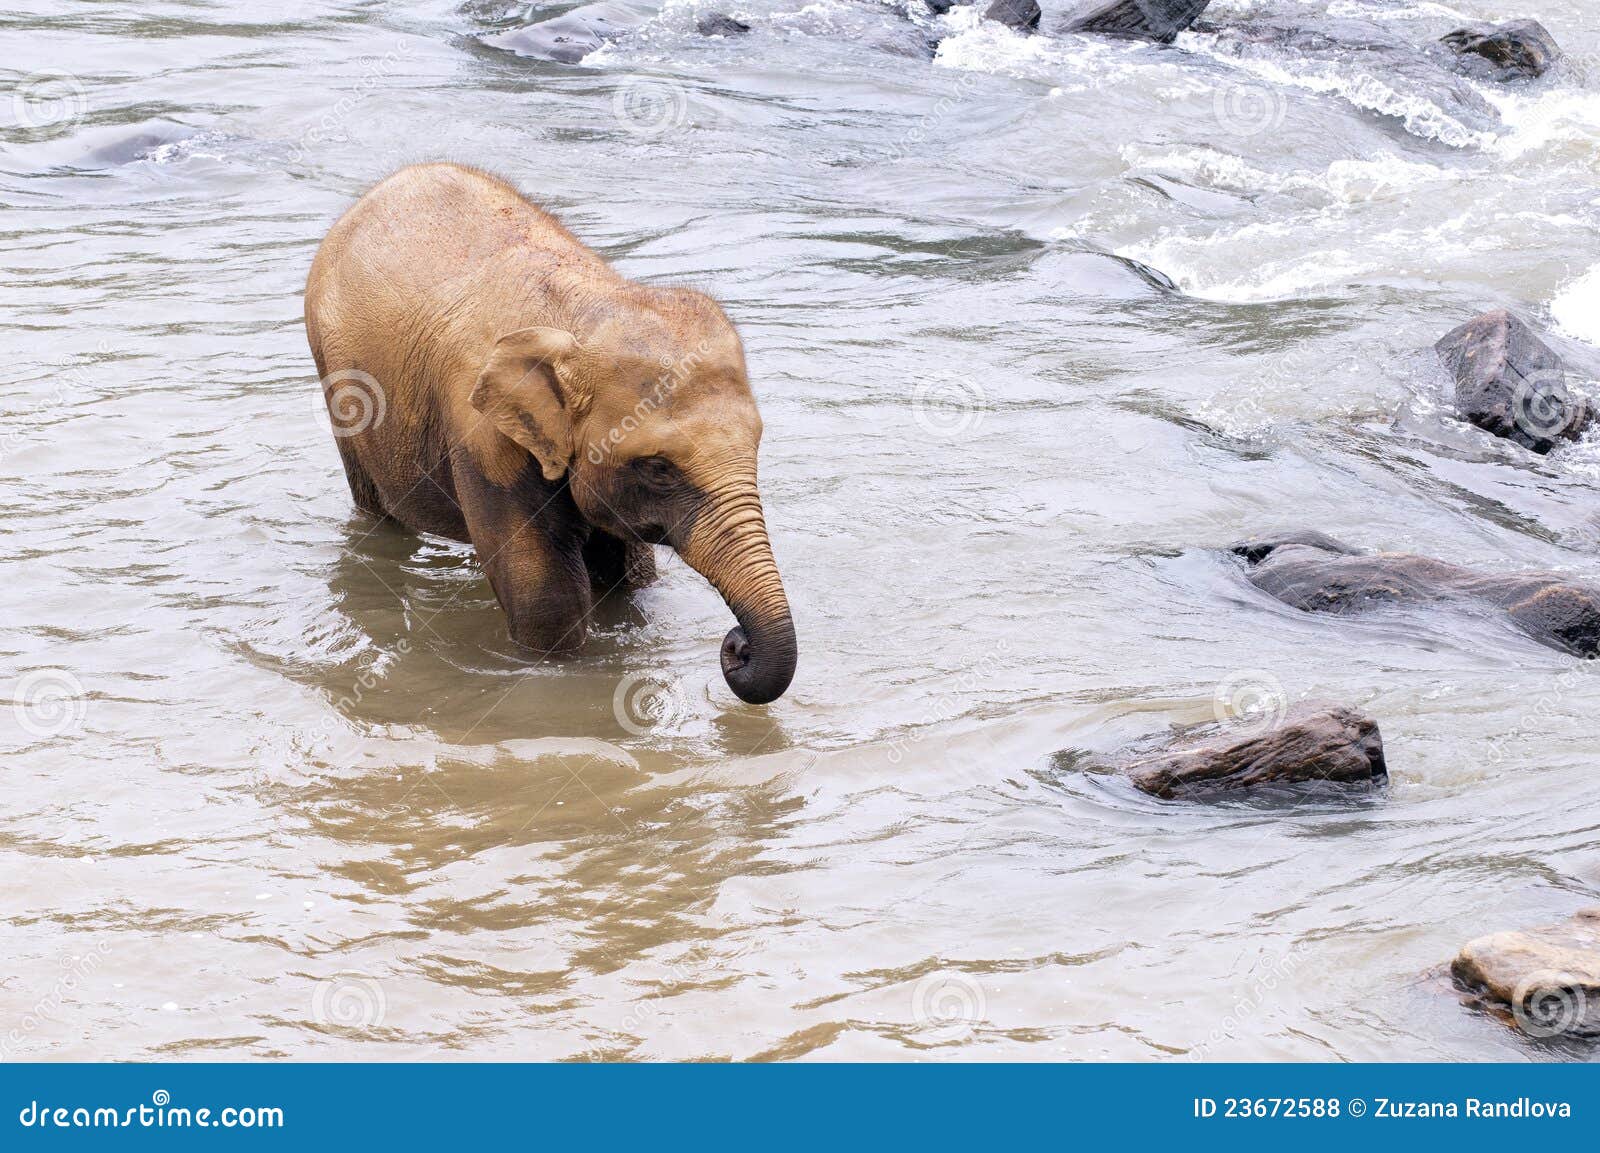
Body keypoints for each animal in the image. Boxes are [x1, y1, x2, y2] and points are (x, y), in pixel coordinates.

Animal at [303, 163, 797, 704]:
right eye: (659, 467)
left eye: (757, 444)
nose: (736, 645)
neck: (584, 312)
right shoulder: (483, 438)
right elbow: (547, 600)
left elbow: (629, 573)